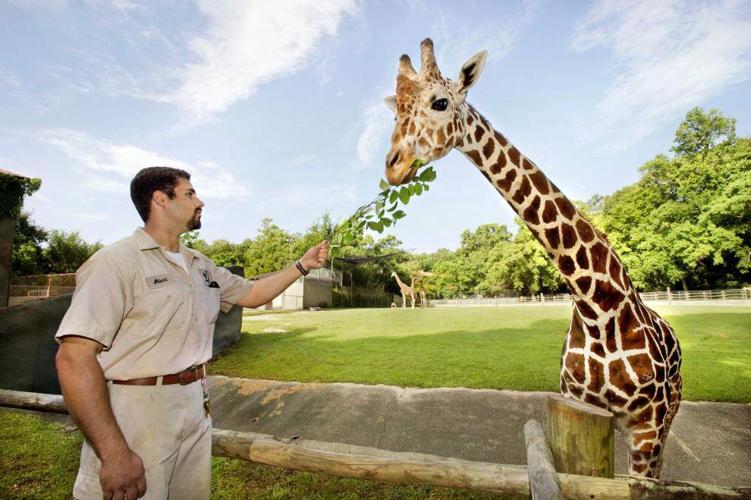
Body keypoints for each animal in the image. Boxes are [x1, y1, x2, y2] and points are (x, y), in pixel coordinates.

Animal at [382, 39, 682, 478]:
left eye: (440, 102)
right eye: (397, 112)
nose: (393, 167)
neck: (597, 303)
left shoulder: (647, 425)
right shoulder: (577, 403)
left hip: (665, 418)